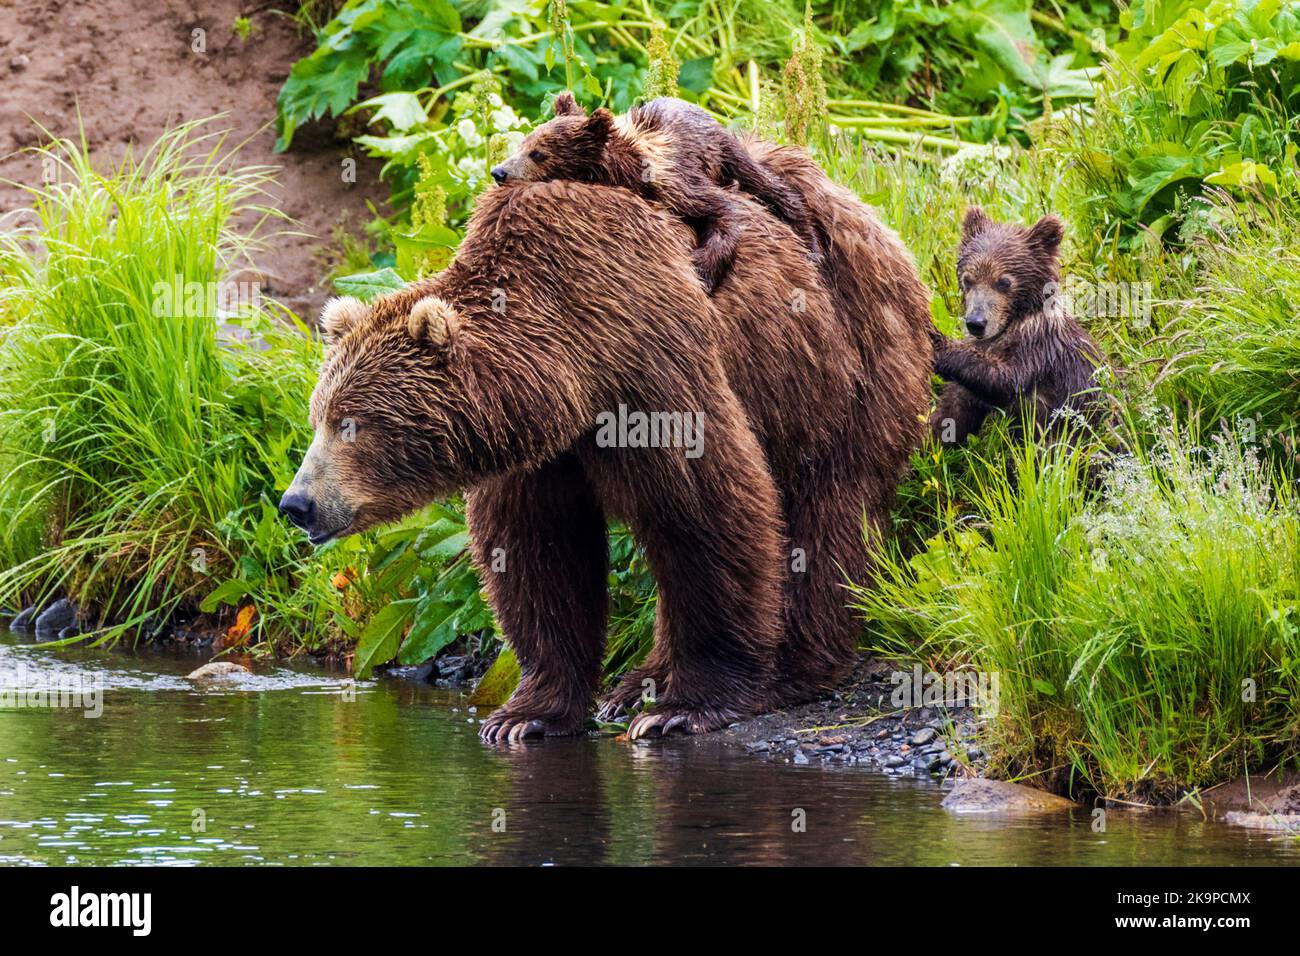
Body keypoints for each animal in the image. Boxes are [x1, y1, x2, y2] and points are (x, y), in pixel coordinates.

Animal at [281, 162, 932, 744]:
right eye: (318, 417)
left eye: (352, 424)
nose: (296, 504)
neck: (572, 366)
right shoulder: (541, 451)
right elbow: (538, 552)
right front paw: (525, 716)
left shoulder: (651, 364)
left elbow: (710, 512)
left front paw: (684, 708)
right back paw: (636, 685)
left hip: (841, 368)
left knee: (827, 509)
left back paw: (793, 668)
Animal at [489, 92, 822, 292]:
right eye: (523, 143)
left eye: (538, 153)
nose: (499, 171)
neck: (626, 165)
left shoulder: (673, 179)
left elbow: (720, 208)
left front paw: (703, 268)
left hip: (721, 149)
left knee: (762, 180)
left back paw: (810, 242)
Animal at [929, 208, 1105, 447]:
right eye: (968, 279)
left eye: (1004, 281)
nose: (976, 323)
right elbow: (955, 409)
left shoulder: (1037, 346)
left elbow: (1005, 381)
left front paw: (938, 342)